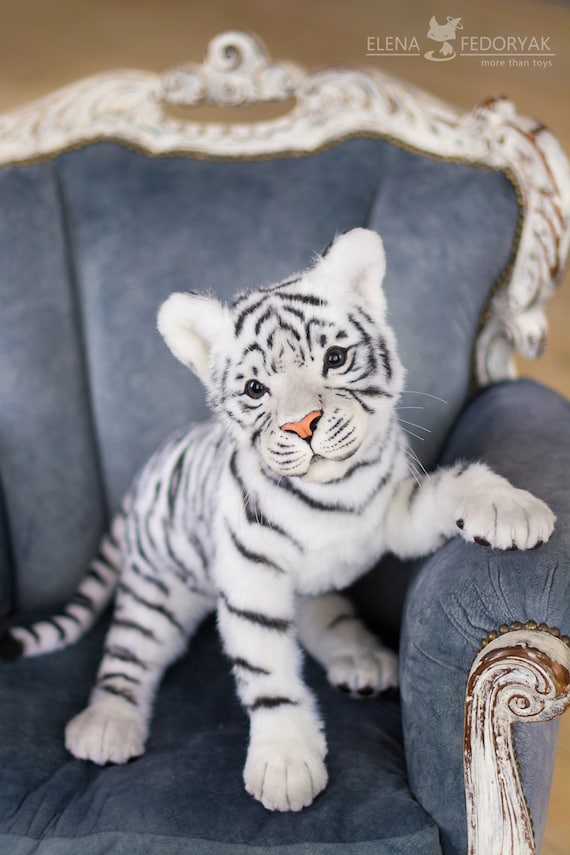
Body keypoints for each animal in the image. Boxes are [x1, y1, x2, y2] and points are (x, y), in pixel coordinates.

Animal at [0, 228, 555, 812]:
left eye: (335, 358)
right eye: (255, 390)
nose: (303, 425)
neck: (334, 492)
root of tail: (142, 478)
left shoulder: (394, 512)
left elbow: (459, 481)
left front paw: (514, 510)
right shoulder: (252, 580)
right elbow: (269, 677)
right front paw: (286, 764)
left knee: (319, 614)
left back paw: (361, 658)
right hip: (156, 591)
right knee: (127, 654)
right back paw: (106, 724)